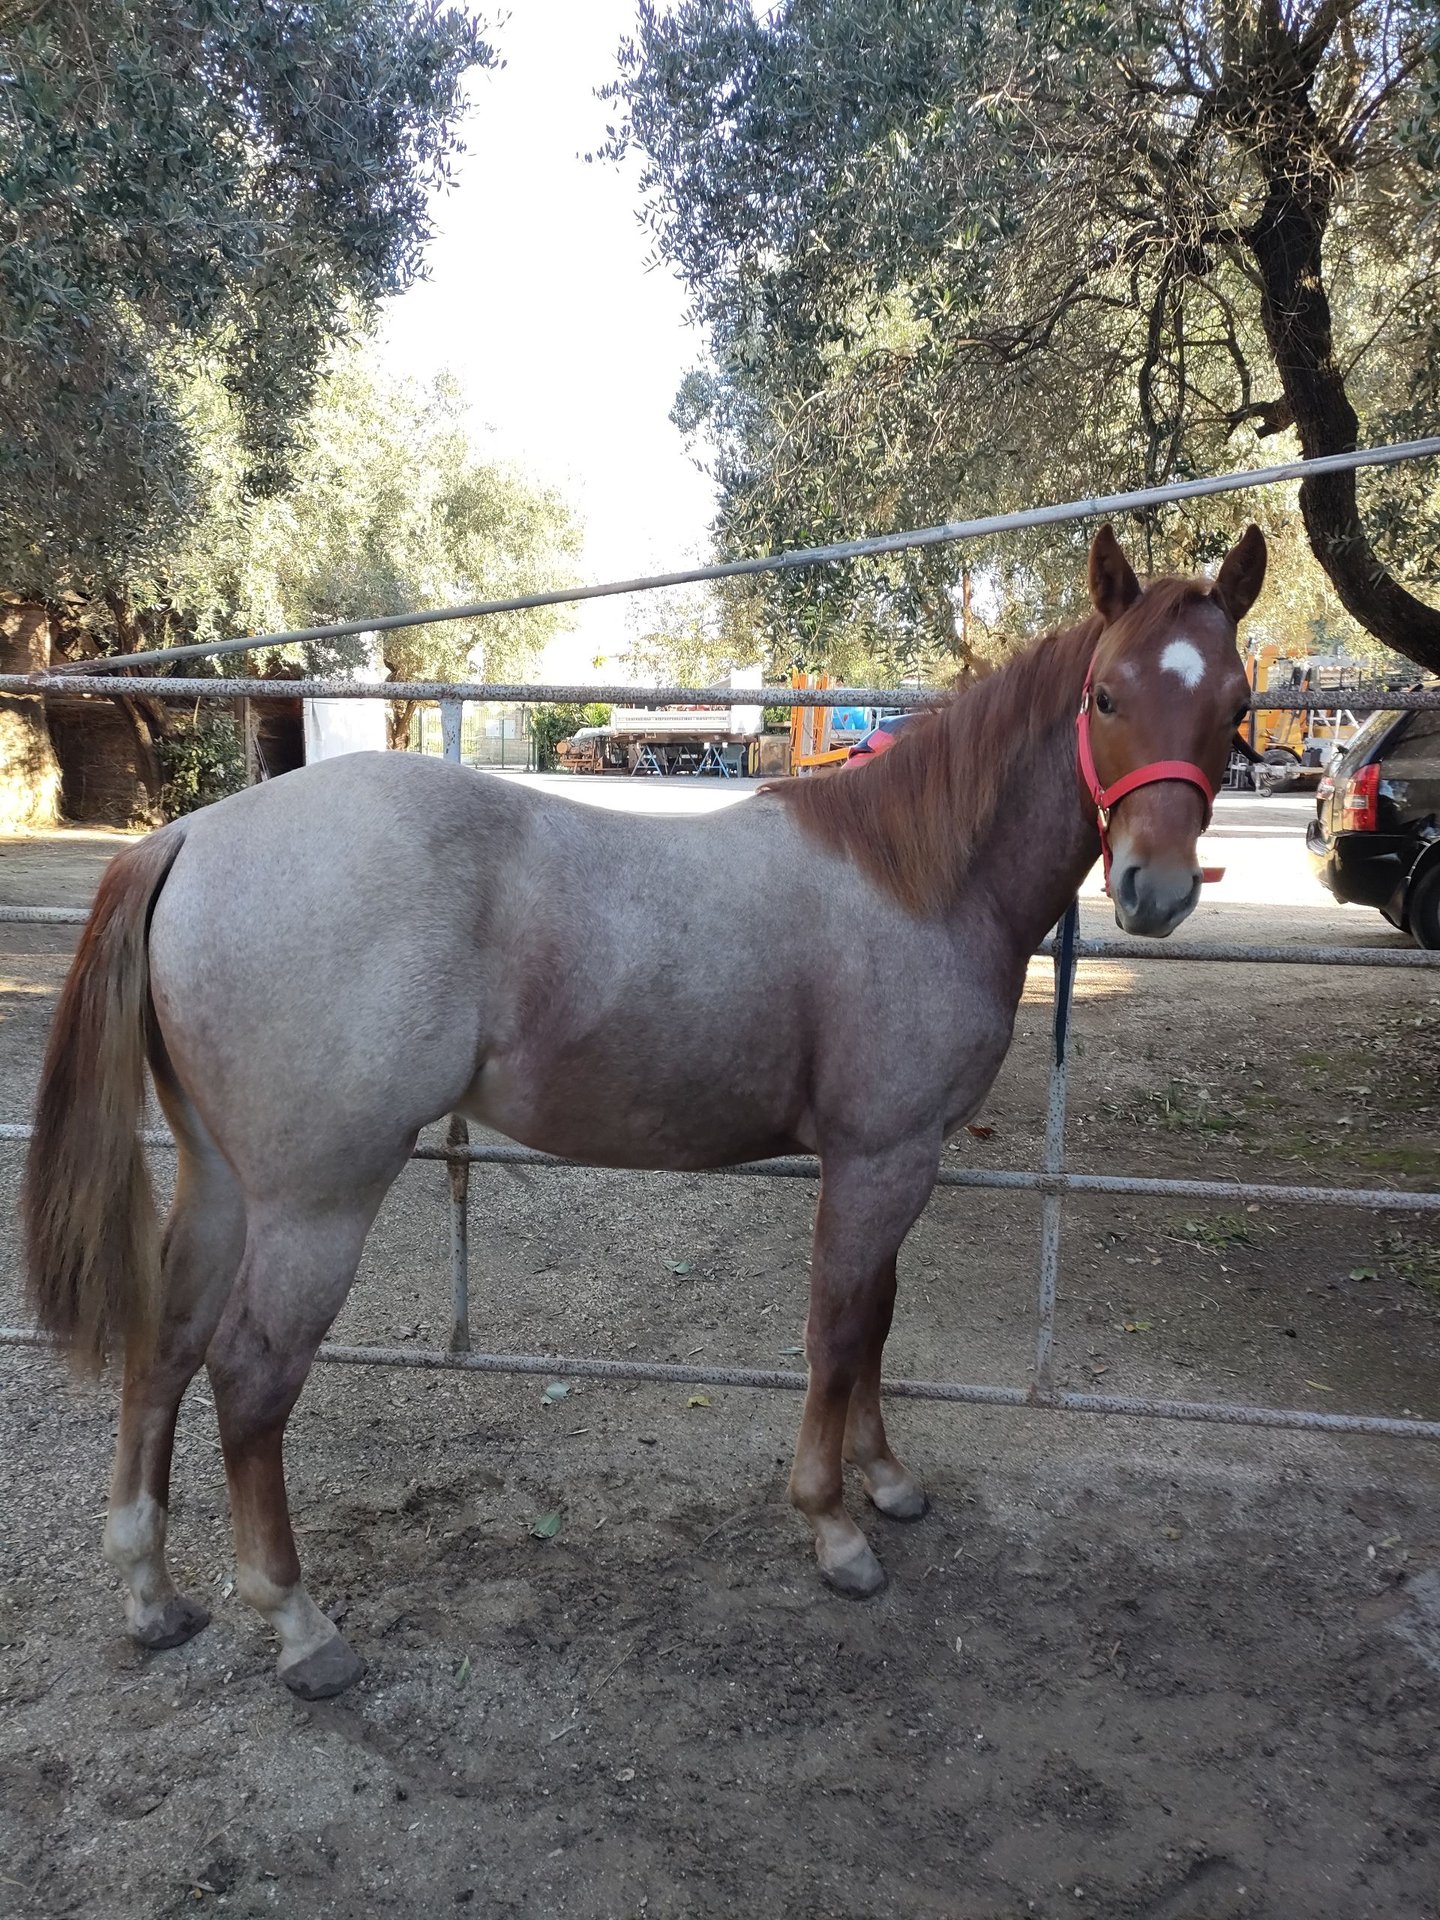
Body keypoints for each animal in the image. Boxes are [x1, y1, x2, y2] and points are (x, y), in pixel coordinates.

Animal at [20, 523, 1265, 1699]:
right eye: (1107, 694)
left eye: (1236, 703)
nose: (1155, 889)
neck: (913, 880)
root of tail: (191, 835)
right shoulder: (876, 1161)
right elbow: (837, 1333)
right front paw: (835, 1527)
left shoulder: (901, 1162)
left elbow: (876, 1323)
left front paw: (888, 1481)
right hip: (317, 1201)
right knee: (249, 1376)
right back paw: (298, 1626)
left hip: (223, 1181)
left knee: (167, 1342)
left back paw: (152, 1595)